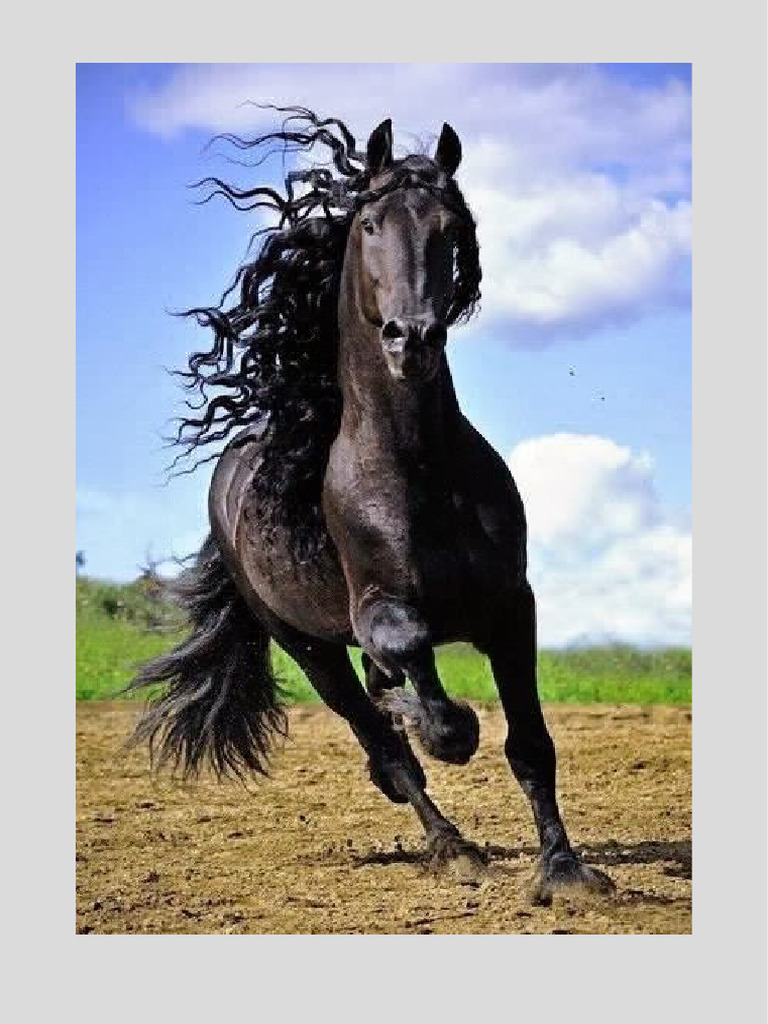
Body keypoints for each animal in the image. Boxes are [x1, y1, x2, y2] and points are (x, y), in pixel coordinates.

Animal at [128, 107, 614, 904]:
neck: (421, 470)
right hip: (307, 646)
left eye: (452, 225)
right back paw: (452, 846)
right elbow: (424, 685)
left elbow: (530, 745)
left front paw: (565, 871)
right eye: (369, 225)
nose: (410, 338)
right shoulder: (378, 608)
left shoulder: (513, 607)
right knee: (383, 747)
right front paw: (442, 727)